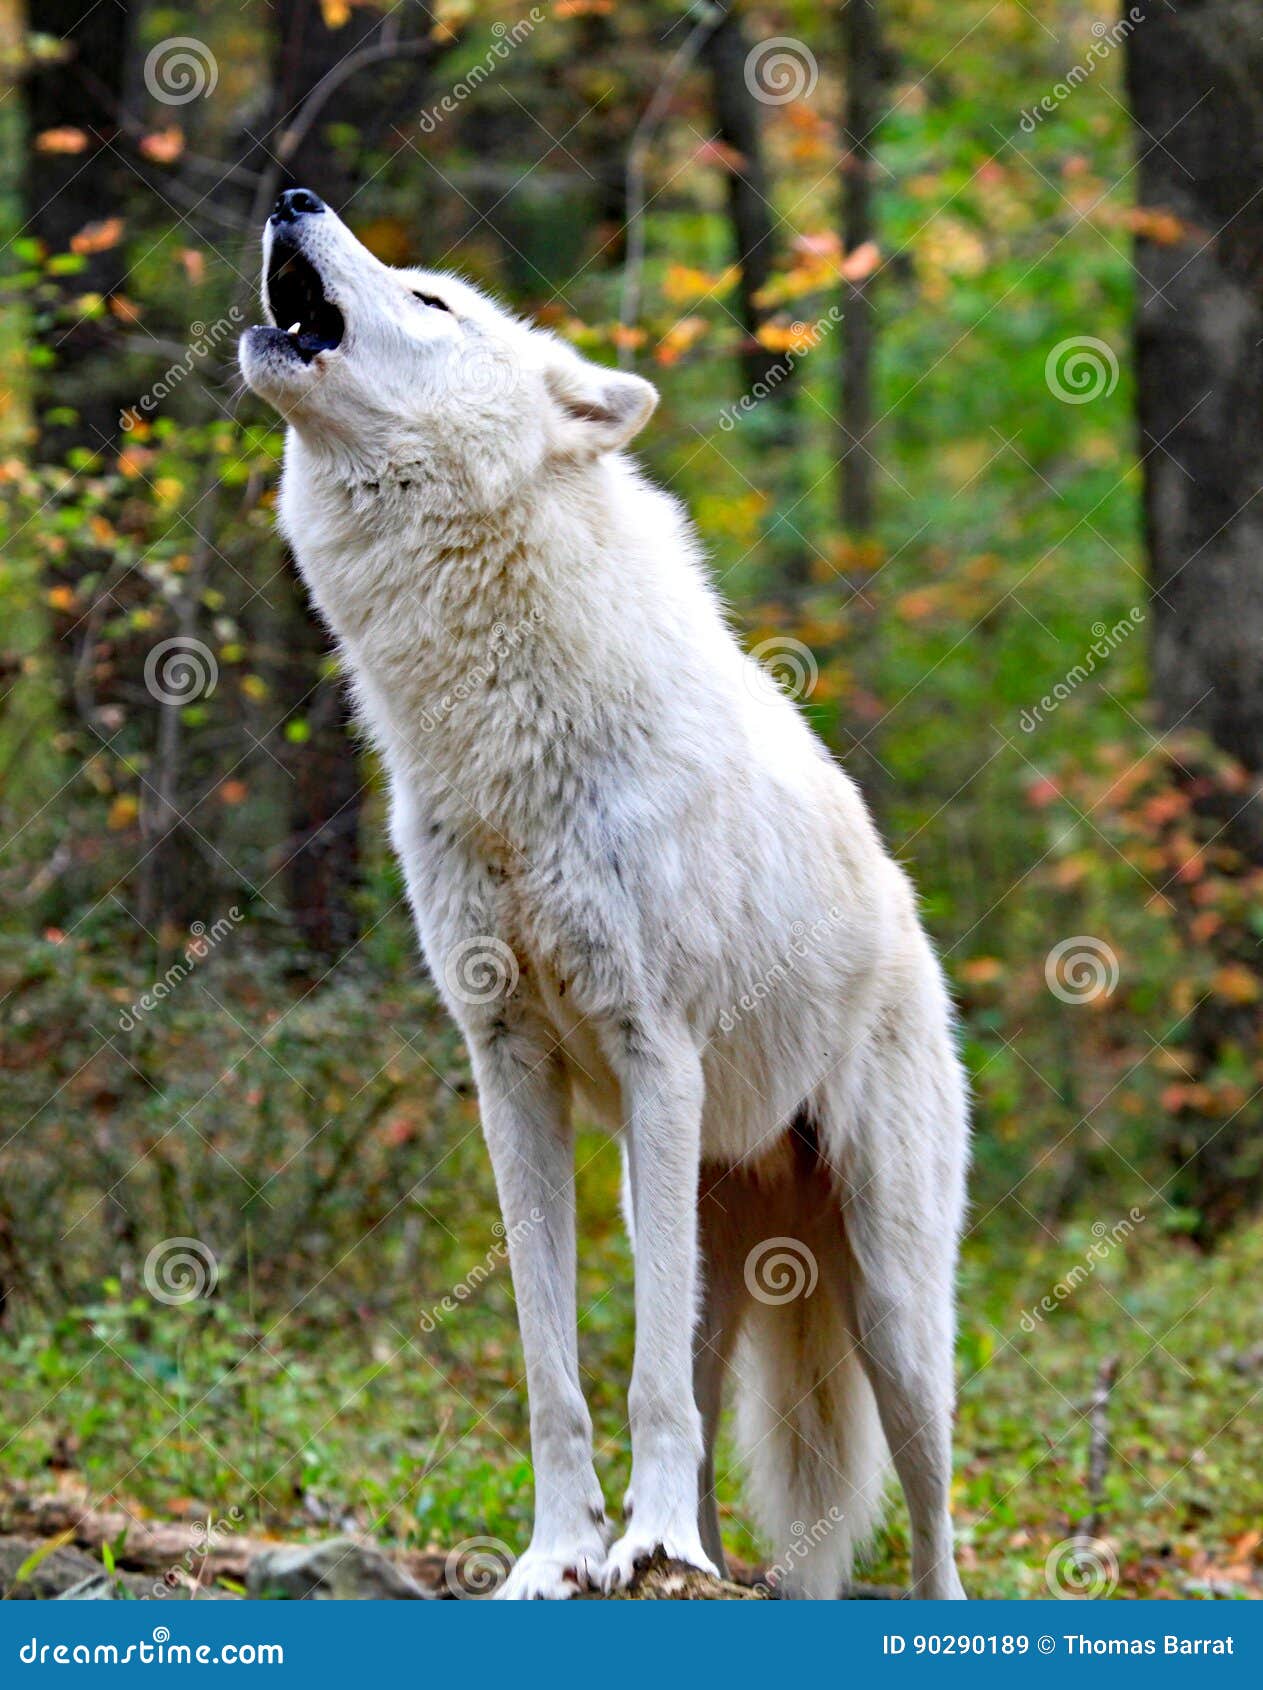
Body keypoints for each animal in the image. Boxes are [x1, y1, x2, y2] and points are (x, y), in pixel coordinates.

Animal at [240, 188, 969, 1601]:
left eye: (431, 299)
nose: (294, 198)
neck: (488, 737)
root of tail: (913, 928)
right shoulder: (508, 1063)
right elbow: (556, 1374)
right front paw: (562, 1553)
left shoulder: (655, 1049)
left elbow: (643, 1389)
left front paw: (646, 1540)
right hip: (699, 1229)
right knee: (712, 1408)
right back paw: (706, 1562)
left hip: (890, 1302)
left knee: (926, 1507)